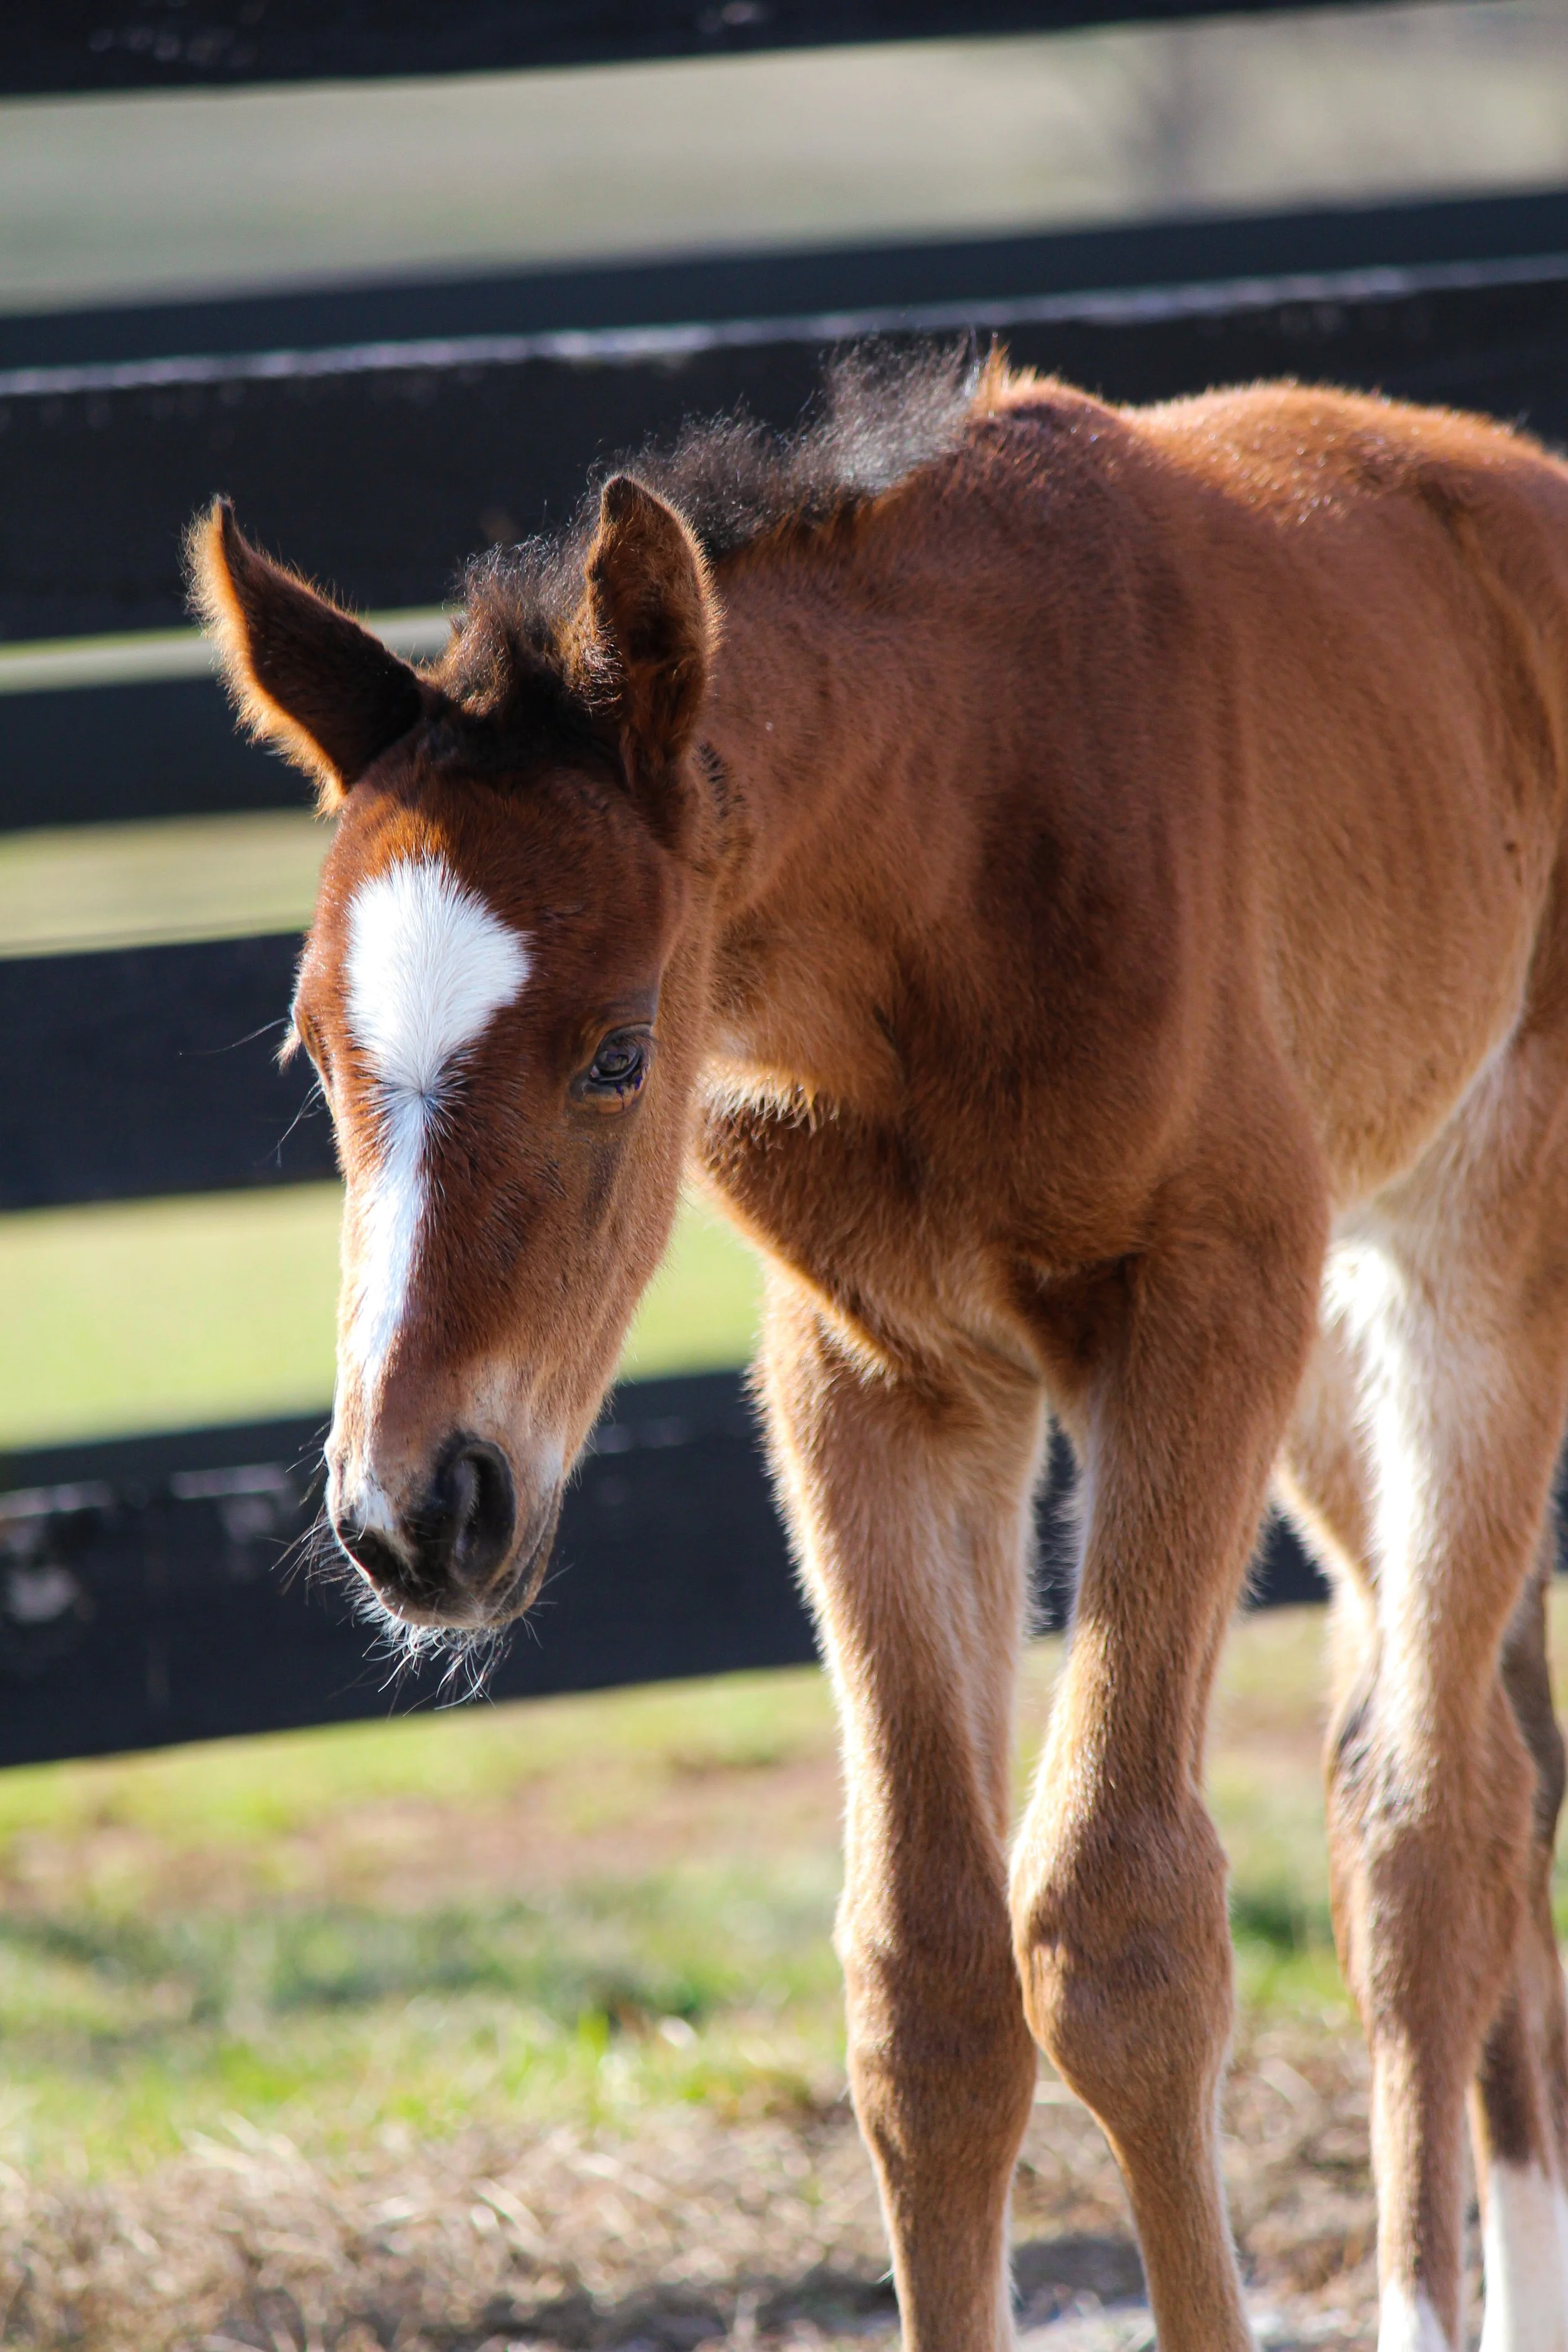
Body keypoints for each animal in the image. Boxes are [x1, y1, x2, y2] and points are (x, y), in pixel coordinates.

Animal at [191, 343, 1568, 2352]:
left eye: (620, 1049)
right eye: (312, 1050)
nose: (415, 1513)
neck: (948, 868)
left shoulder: (1200, 1306)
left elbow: (1121, 1924)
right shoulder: (884, 1380)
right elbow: (927, 1984)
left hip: (1469, 1269)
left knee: (1427, 1824)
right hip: (1330, 1364)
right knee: (1453, 1771)